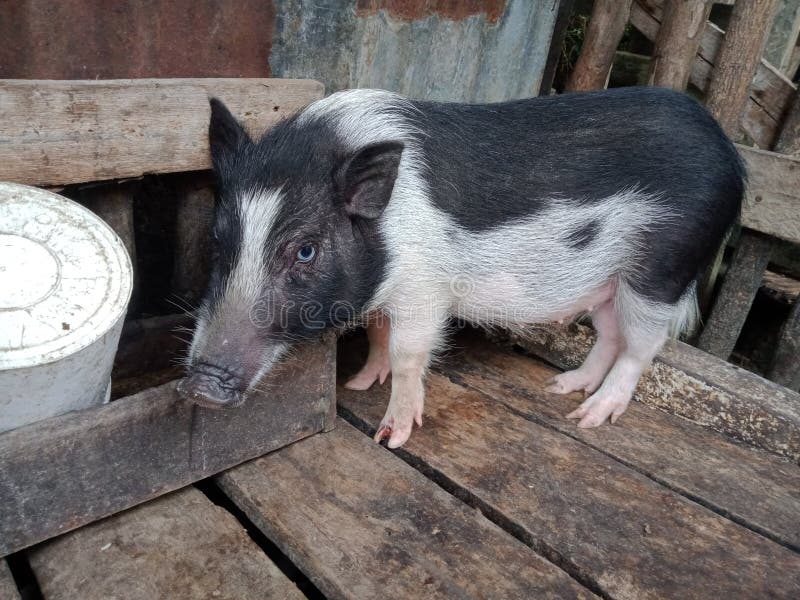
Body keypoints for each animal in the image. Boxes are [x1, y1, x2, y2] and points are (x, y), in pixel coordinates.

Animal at [177, 86, 744, 449]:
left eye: (305, 251)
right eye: (218, 239)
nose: (199, 385)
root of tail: (731, 155)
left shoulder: (426, 290)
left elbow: (408, 352)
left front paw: (392, 434)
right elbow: (379, 332)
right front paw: (361, 384)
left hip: (663, 269)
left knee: (642, 347)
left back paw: (589, 418)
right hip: (606, 281)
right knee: (608, 334)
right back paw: (565, 389)